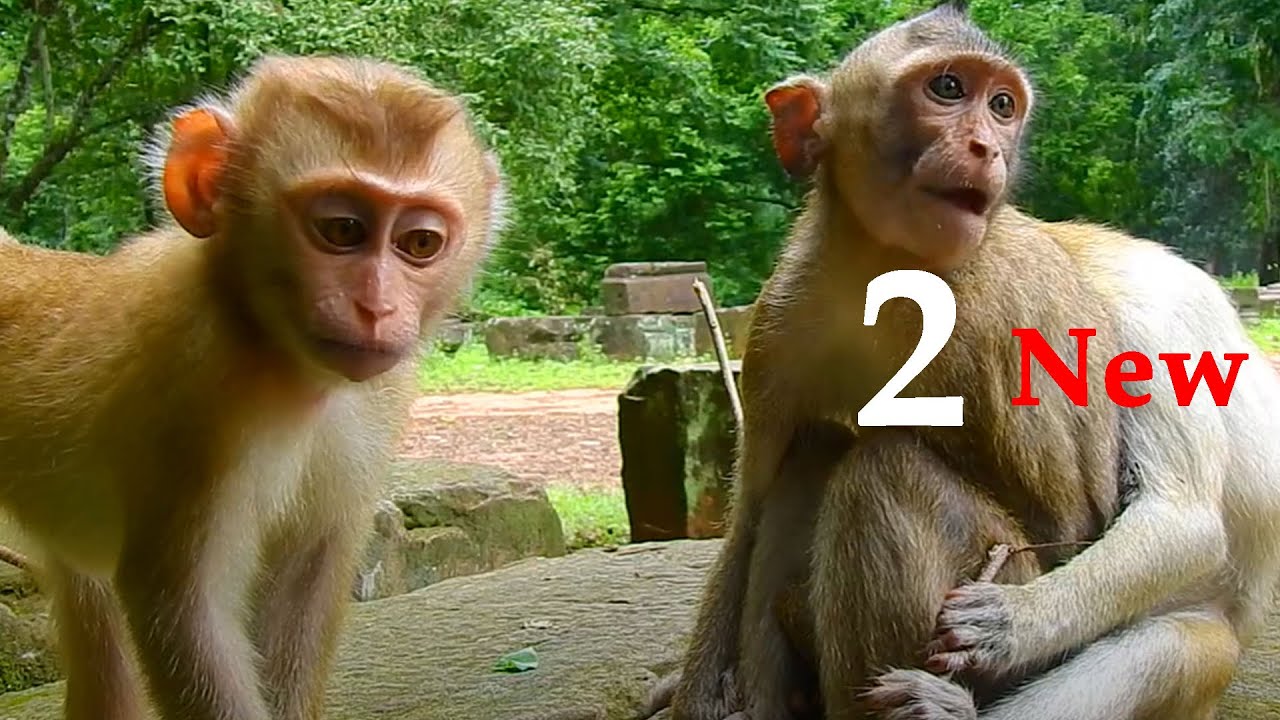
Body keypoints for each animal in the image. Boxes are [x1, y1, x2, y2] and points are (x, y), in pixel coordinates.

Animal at [0, 54, 506, 720]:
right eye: (342, 229)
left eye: (419, 242)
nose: (376, 307)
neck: (279, 358)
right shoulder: (198, 393)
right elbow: (184, 609)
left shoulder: (380, 395)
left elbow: (303, 576)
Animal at [660, 2, 1280, 720]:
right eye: (949, 89)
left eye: (1002, 105)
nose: (988, 147)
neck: (886, 270)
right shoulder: (780, 319)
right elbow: (751, 512)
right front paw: (693, 694)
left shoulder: (1013, 313)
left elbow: (1099, 520)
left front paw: (1011, 624)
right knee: (811, 458)